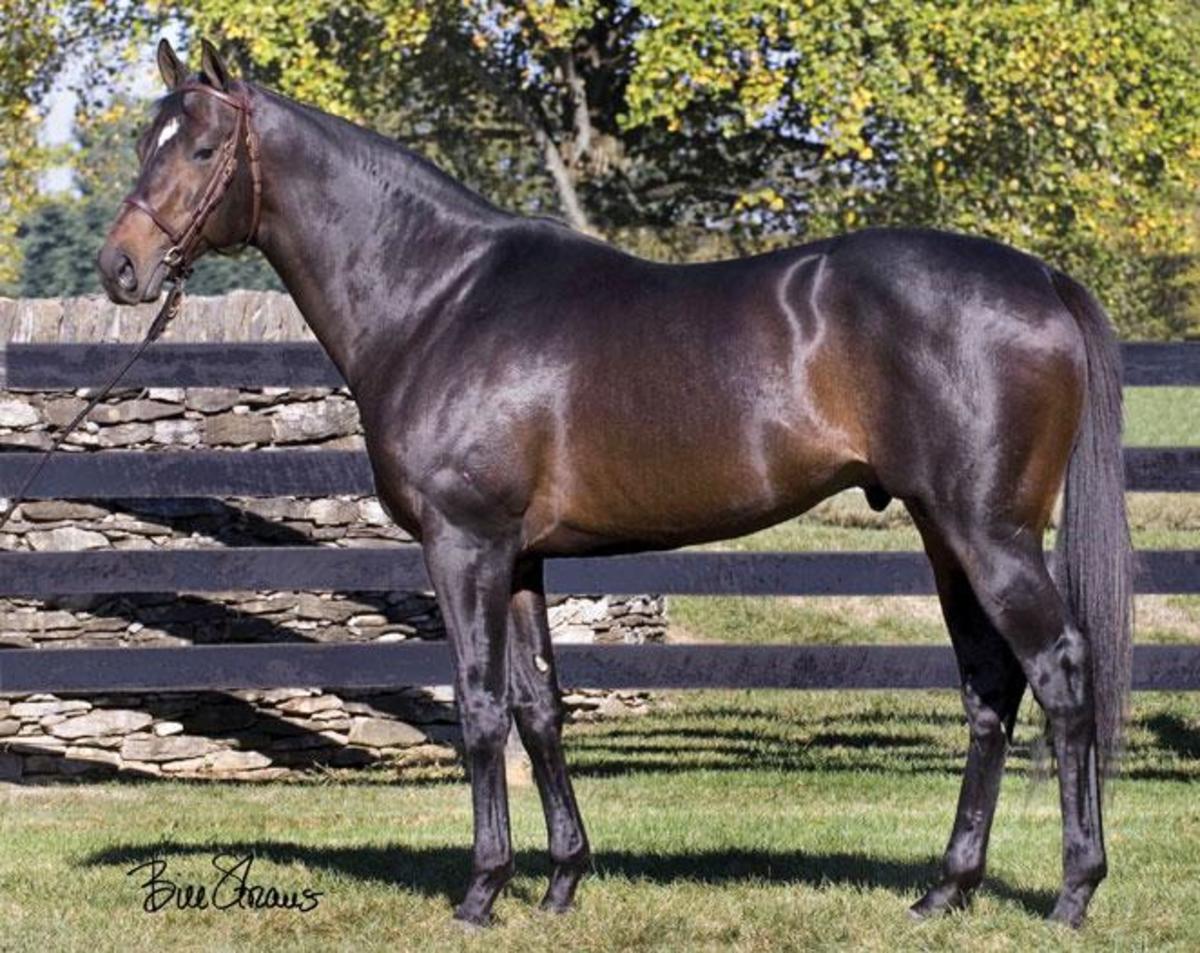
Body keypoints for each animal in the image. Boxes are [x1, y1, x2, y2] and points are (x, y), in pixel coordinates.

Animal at [97, 39, 1133, 929]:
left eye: (200, 147)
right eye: (143, 143)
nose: (121, 268)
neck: (439, 299)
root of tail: (1042, 279)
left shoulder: (463, 545)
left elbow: (479, 709)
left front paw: (482, 890)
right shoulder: (517, 559)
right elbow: (539, 708)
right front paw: (560, 881)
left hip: (990, 535)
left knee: (1060, 673)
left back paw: (1074, 892)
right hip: (945, 534)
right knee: (990, 691)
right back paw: (946, 891)